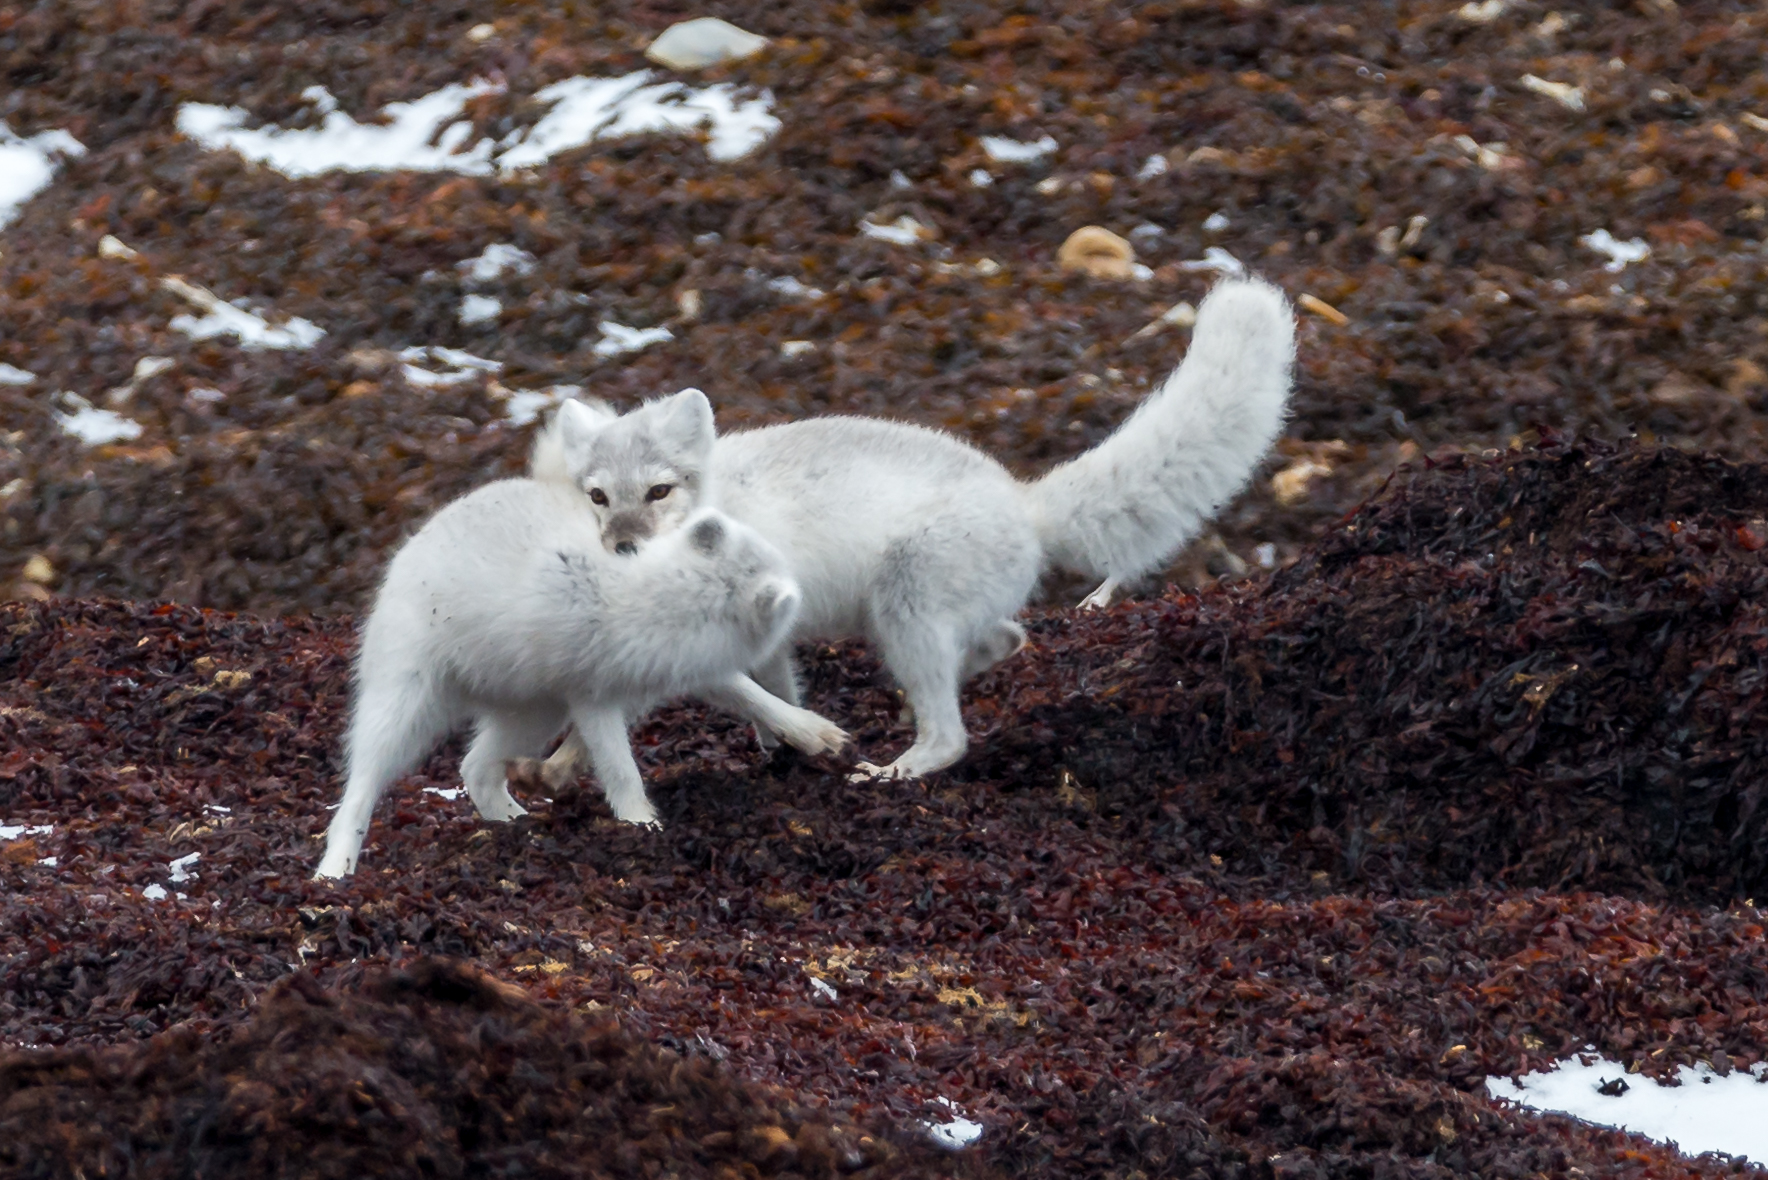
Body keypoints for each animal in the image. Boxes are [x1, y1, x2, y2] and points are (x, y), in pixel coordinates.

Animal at [313, 478, 847, 879]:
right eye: (768, 559)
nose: (800, 590)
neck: (670, 598)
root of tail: (408, 552)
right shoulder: (593, 697)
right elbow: (619, 766)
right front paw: (642, 824)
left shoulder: (681, 674)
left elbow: (751, 695)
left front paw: (818, 735)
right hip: (405, 698)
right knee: (361, 786)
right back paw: (334, 871)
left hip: (534, 712)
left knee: (475, 768)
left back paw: (517, 824)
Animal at [530, 276, 1295, 782]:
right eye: (598, 497)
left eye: (660, 491)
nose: (623, 545)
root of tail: (1021, 499)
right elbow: (768, 692)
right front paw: (784, 745)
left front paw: (565, 764)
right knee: (1008, 640)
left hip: (905, 603)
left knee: (954, 735)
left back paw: (897, 769)